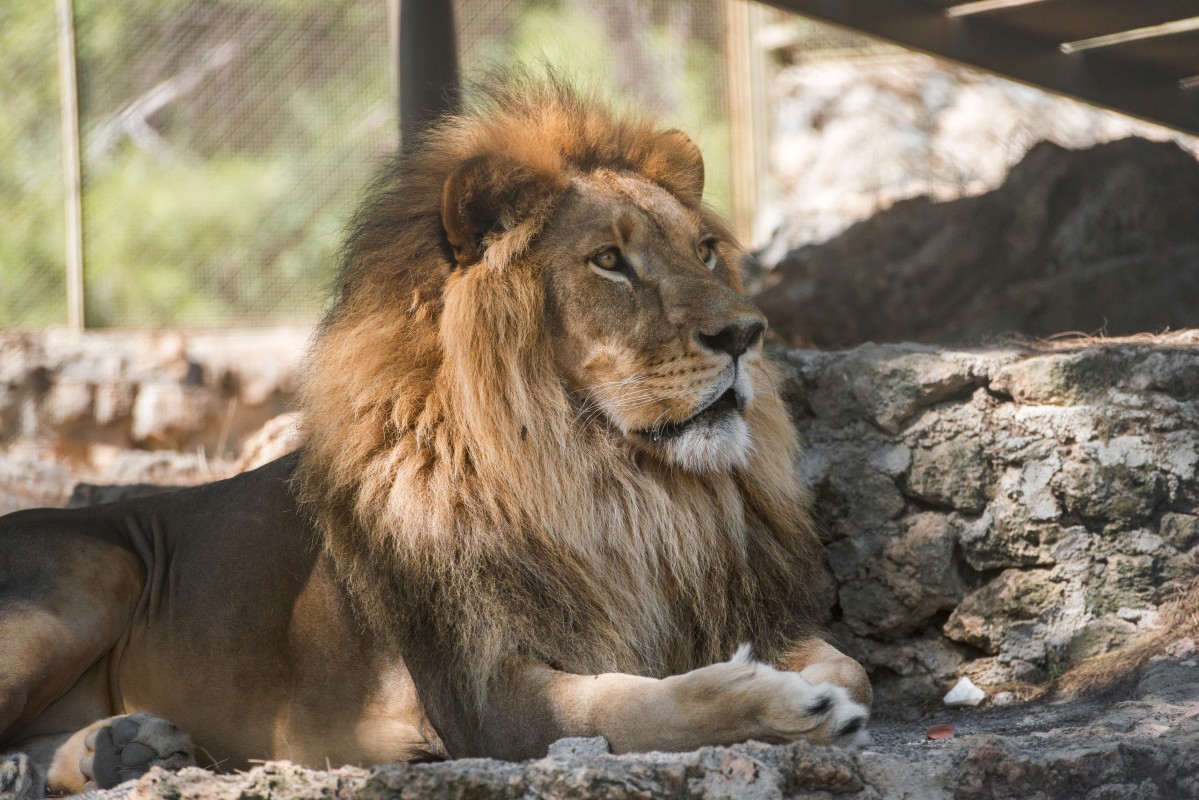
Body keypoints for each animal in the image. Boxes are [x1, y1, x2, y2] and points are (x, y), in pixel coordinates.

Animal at [0, 80, 870, 797]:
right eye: (609, 261)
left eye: (705, 252)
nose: (745, 334)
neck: (610, 485)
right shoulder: (481, 697)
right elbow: (631, 708)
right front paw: (782, 704)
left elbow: (853, 668)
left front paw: (820, 690)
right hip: (98, 572)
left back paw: (118, 748)